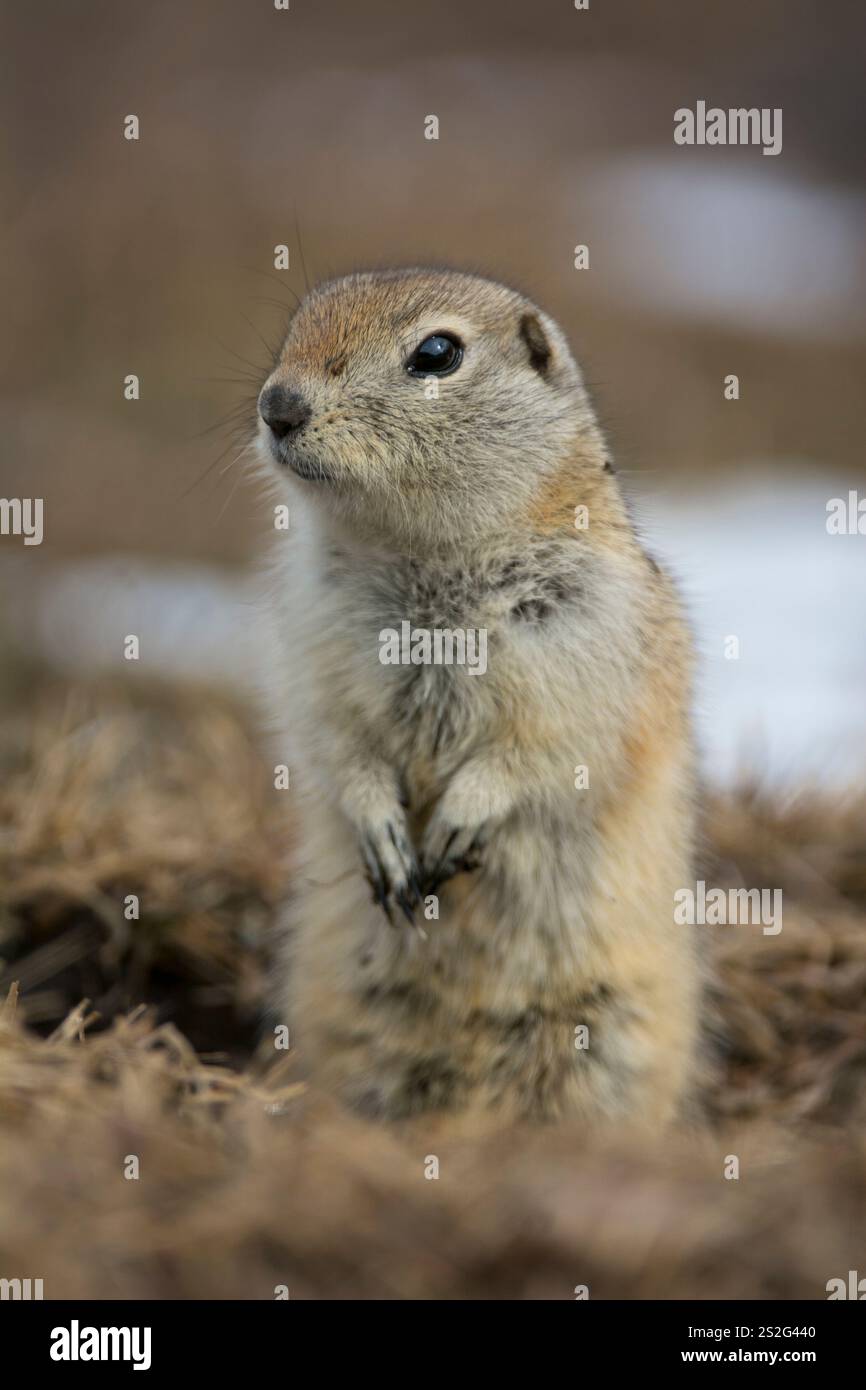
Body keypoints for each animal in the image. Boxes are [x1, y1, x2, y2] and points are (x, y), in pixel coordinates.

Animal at [254, 267, 699, 1125]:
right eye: (299, 323)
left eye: (437, 353)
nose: (277, 405)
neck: (426, 560)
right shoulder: (311, 655)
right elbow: (334, 746)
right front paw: (385, 839)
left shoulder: (587, 650)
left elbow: (544, 755)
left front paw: (458, 822)